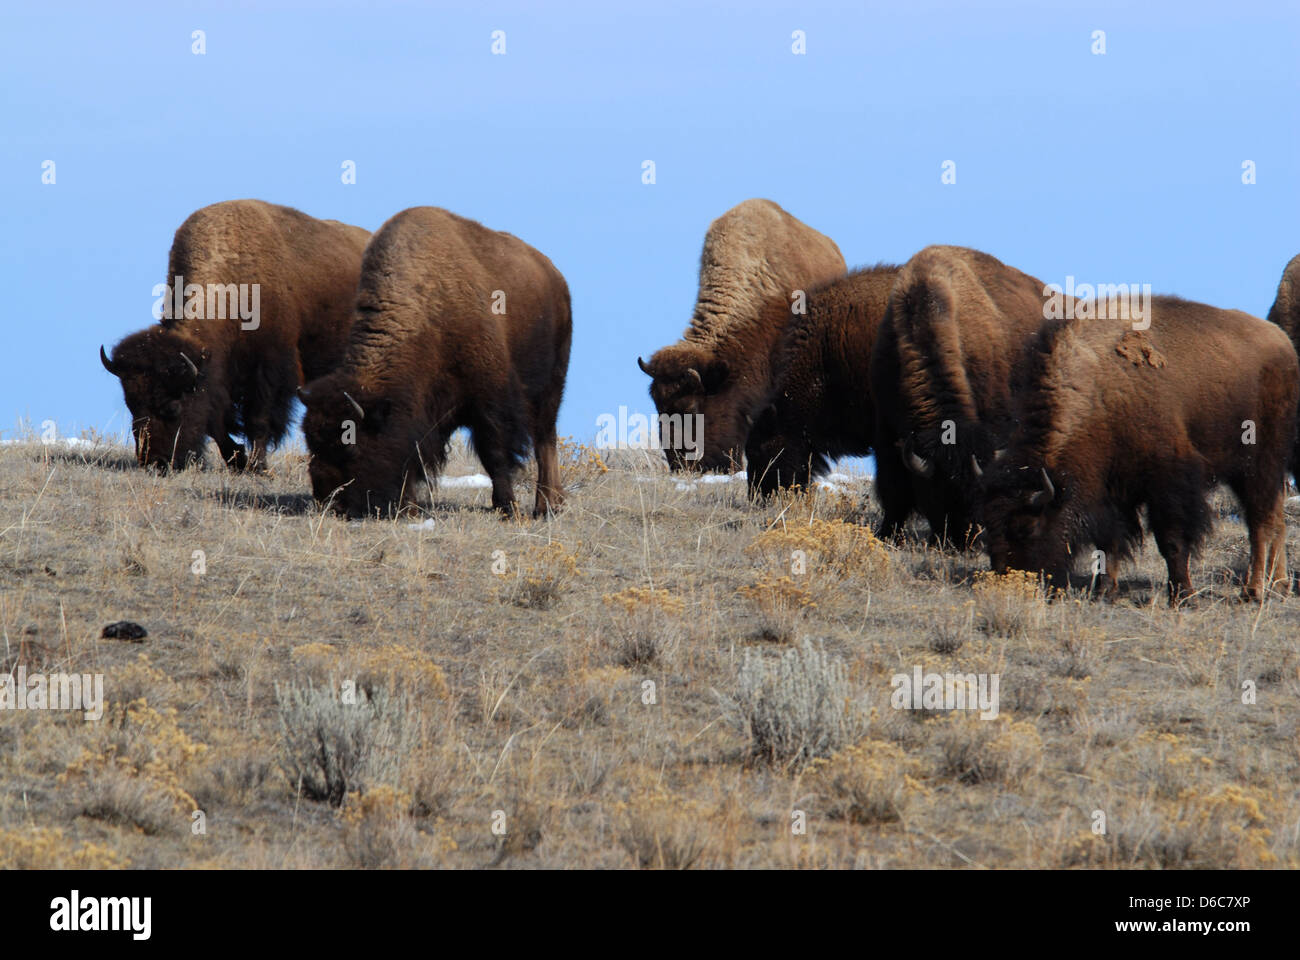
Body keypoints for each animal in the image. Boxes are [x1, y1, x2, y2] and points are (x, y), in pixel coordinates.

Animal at [100, 200, 369, 470]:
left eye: (172, 407)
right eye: (132, 406)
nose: (155, 462)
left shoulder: (268, 369)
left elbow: (259, 419)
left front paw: (257, 466)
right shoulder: (219, 378)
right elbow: (215, 422)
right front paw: (238, 458)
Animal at [298, 206, 571, 519]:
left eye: (350, 447)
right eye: (311, 442)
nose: (330, 503)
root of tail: (554, 276)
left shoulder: (490, 402)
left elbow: (495, 455)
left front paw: (508, 508)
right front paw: (409, 507)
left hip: (550, 387)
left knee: (545, 441)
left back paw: (546, 505)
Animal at [980, 299, 1298, 603]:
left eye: (1027, 528)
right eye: (988, 526)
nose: (1010, 586)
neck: (1100, 394)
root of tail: (1282, 342)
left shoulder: (1168, 484)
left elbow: (1172, 541)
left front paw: (1183, 596)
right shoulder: (1113, 491)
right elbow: (1110, 542)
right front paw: (1105, 591)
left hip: (1259, 466)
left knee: (1260, 525)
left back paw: (1253, 592)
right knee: (1275, 520)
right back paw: (1279, 586)